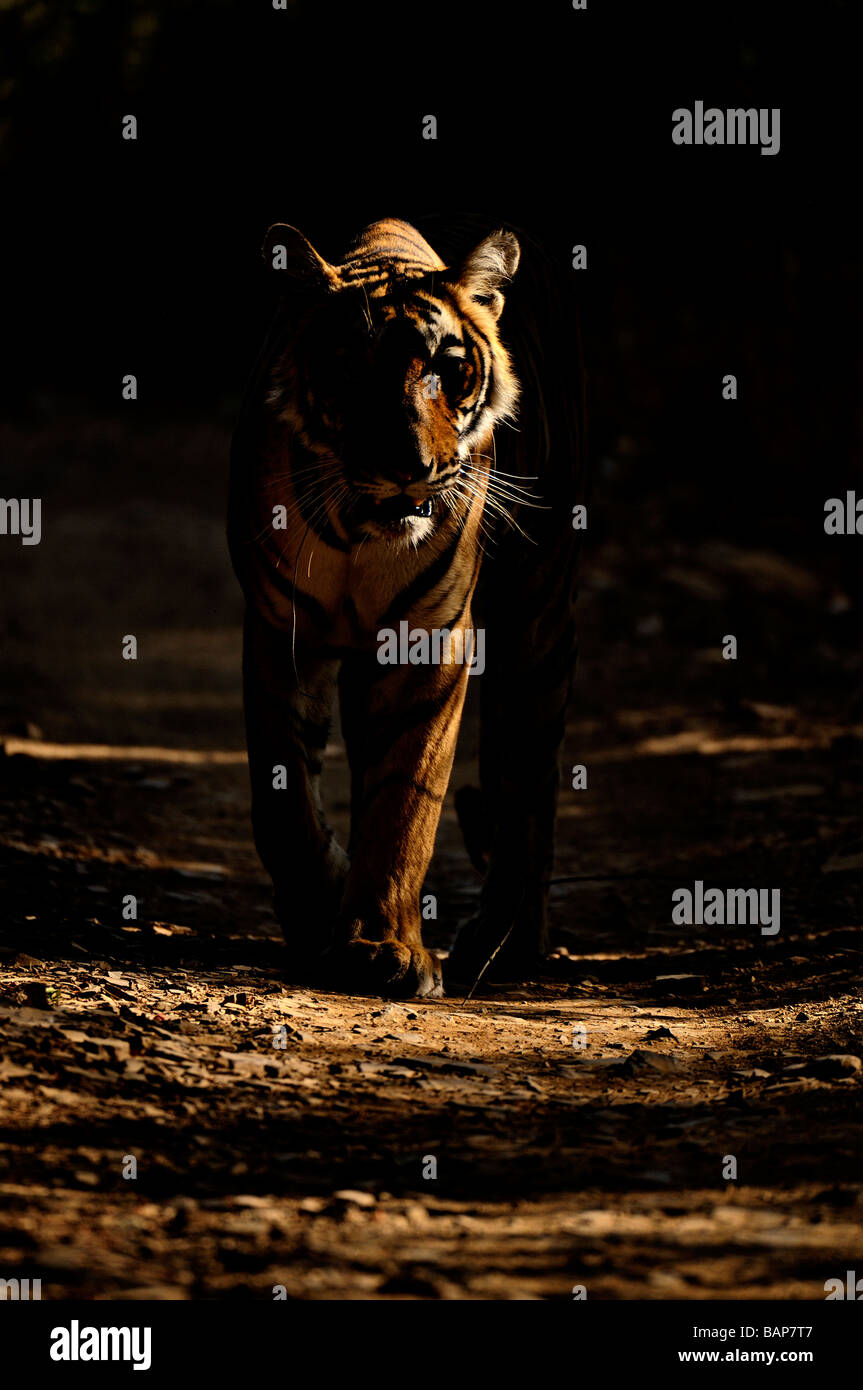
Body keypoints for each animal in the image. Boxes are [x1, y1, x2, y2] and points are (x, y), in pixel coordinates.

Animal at [228, 215, 584, 998]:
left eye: (447, 370)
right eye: (350, 370)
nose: (409, 469)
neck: (361, 536)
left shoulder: (433, 639)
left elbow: (406, 799)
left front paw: (382, 948)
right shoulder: (277, 632)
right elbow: (283, 799)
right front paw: (321, 906)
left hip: (537, 607)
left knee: (530, 781)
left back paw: (509, 941)